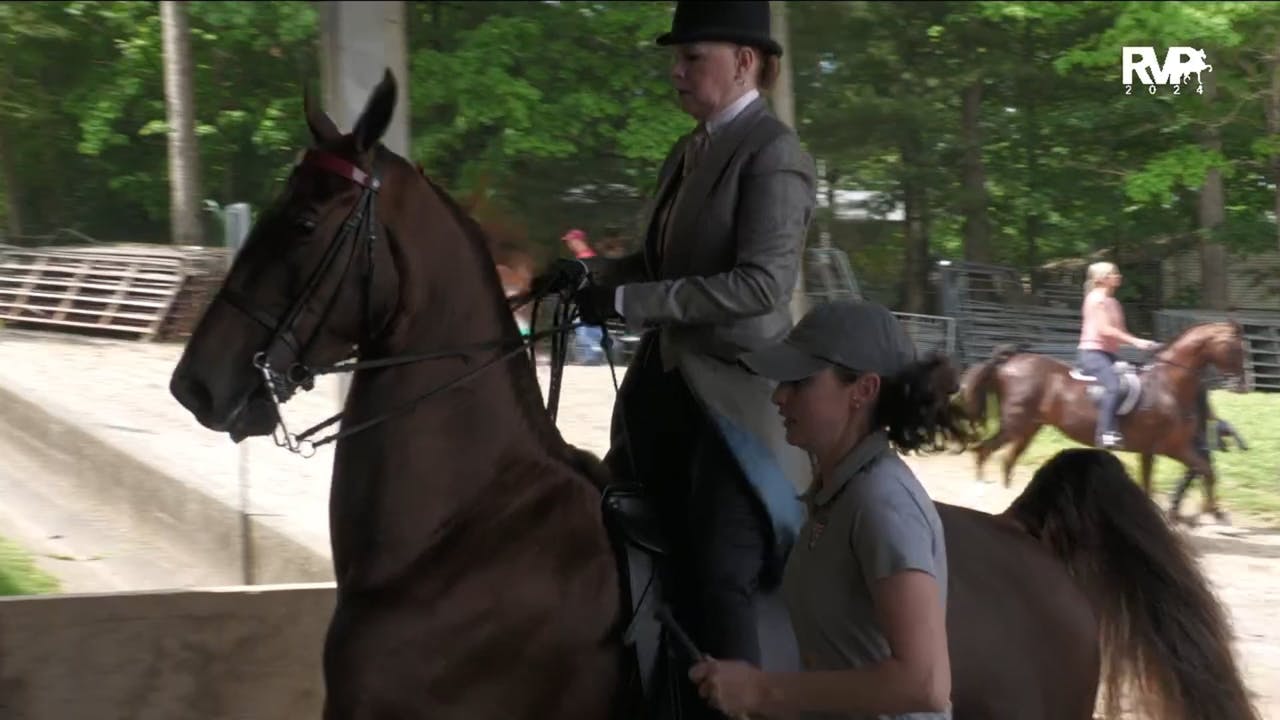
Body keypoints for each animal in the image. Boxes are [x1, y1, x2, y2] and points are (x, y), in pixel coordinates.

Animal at [959, 321, 1248, 521]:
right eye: (1236, 347)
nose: (1241, 385)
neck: (1168, 386)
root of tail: (1009, 361)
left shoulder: (1168, 448)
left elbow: (1204, 471)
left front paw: (1212, 511)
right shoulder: (1160, 448)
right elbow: (1172, 480)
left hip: (1029, 428)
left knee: (1006, 462)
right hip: (1014, 426)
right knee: (983, 452)